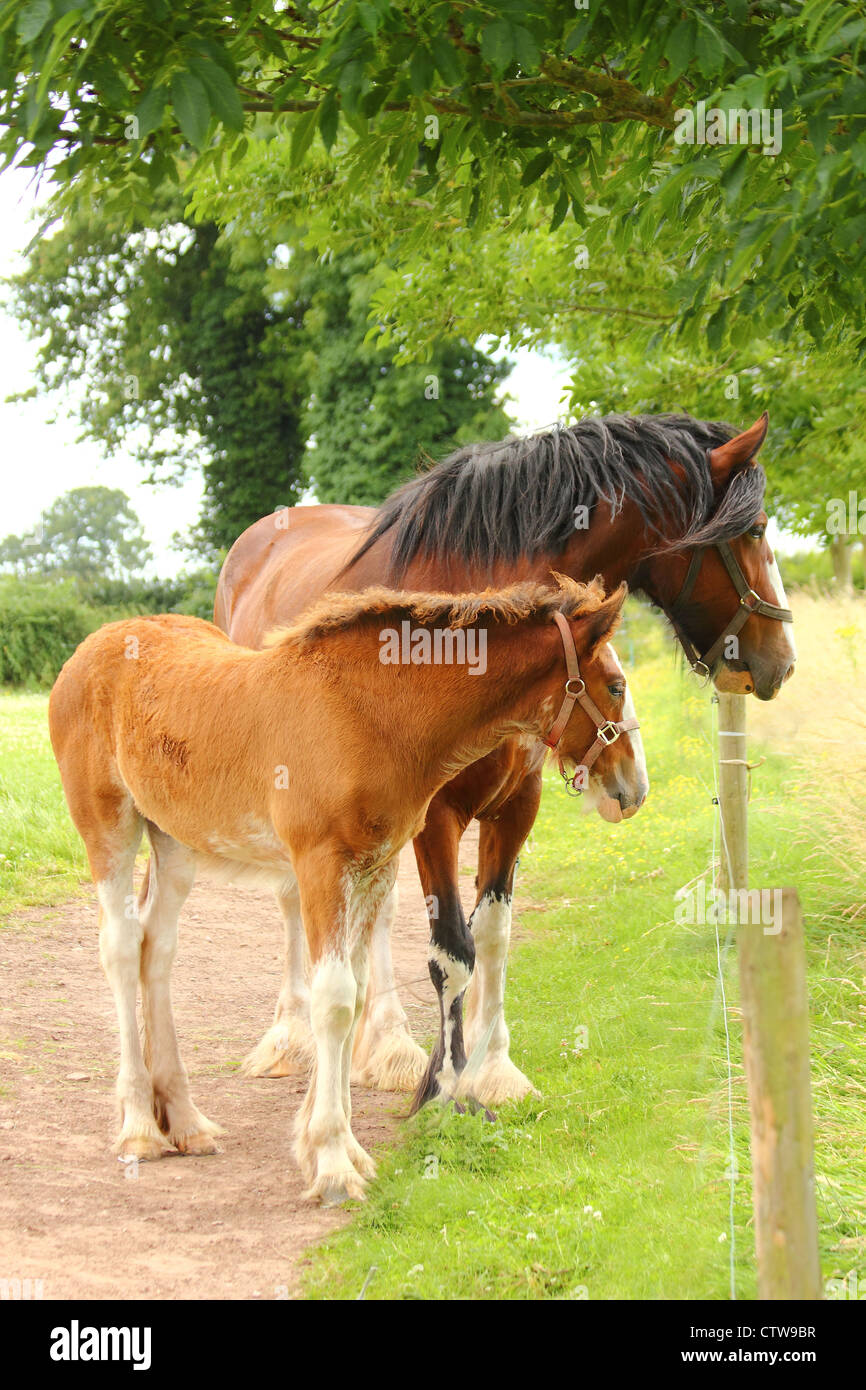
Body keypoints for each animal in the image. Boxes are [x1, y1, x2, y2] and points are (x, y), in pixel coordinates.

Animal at [48, 576, 644, 1203]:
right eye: (616, 685)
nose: (631, 789)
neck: (370, 711)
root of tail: (91, 648)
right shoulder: (320, 864)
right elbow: (332, 1000)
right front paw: (333, 1163)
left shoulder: (373, 865)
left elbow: (354, 994)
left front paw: (334, 1148)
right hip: (108, 826)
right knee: (120, 947)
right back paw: (140, 1127)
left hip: (175, 843)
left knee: (156, 950)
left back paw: (186, 1123)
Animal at [214, 410, 795, 1110]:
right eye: (756, 531)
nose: (781, 659)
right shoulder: (434, 815)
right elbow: (450, 949)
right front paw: (445, 1090)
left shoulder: (517, 804)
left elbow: (491, 933)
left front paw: (492, 1071)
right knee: (297, 904)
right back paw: (291, 1037)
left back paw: (385, 1044)